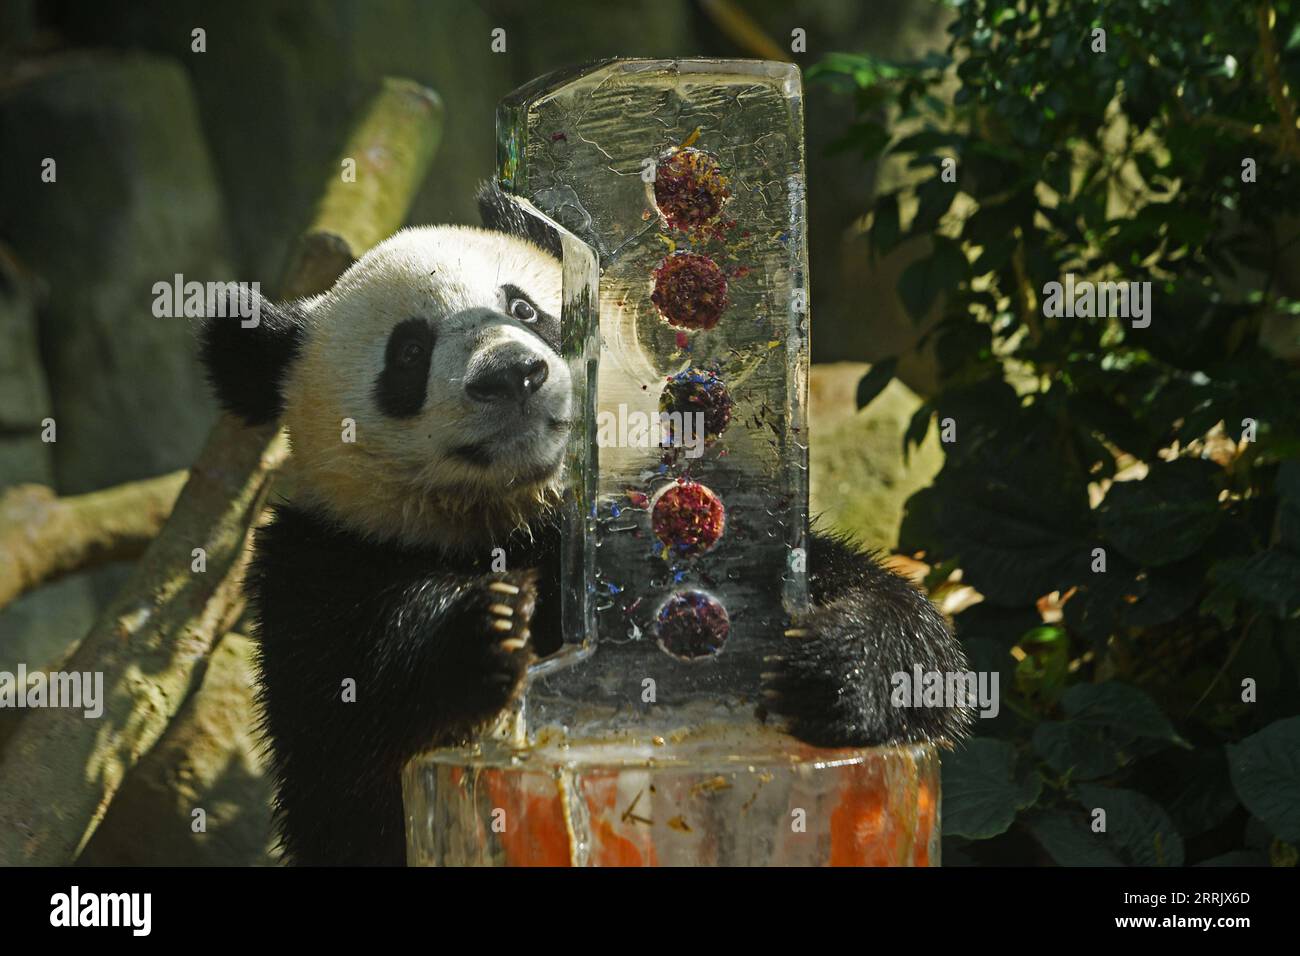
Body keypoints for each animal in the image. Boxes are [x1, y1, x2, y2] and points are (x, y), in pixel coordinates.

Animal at [198, 183, 972, 866]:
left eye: (524, 307)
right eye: (409, 353)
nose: (511, 373)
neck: (523, 518)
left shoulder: (691, 520)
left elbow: (884, 618)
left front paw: (835, 668)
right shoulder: (318, 568)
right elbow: (351, 719)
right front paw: (488, 627)